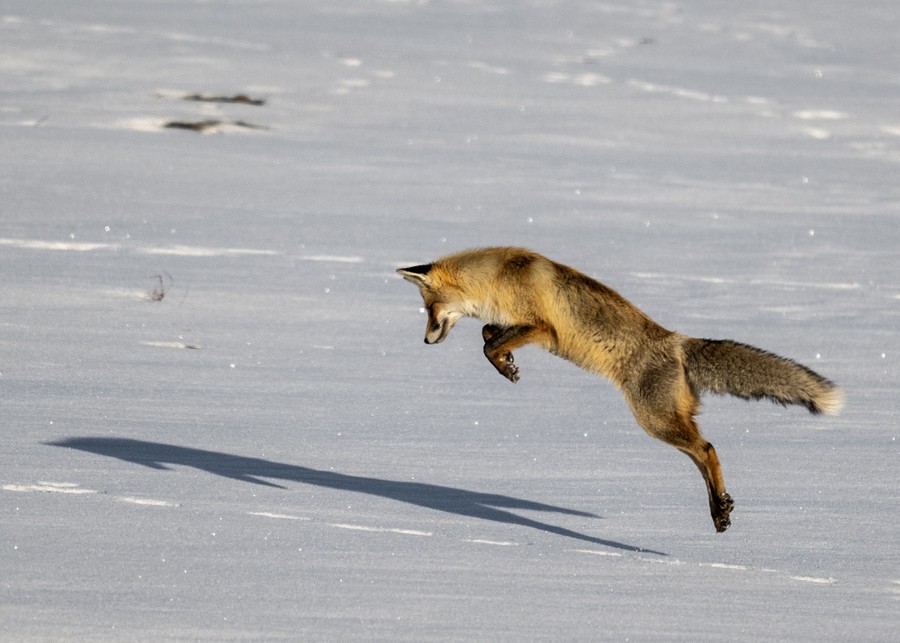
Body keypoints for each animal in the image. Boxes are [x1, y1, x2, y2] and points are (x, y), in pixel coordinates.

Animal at [397, 247, 843, 533]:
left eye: (429, 308)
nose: (425, 341)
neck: (499, 276)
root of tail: (676, 342)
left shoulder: (542, 327)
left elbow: (488, 342)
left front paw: (504, 366)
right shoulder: (517, 324)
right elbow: (490, 334)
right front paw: (508, 365)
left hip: (653, 419)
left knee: (708, 449)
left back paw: (719, 508)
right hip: (665, 419)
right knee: (702, 452)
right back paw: (720, 510)